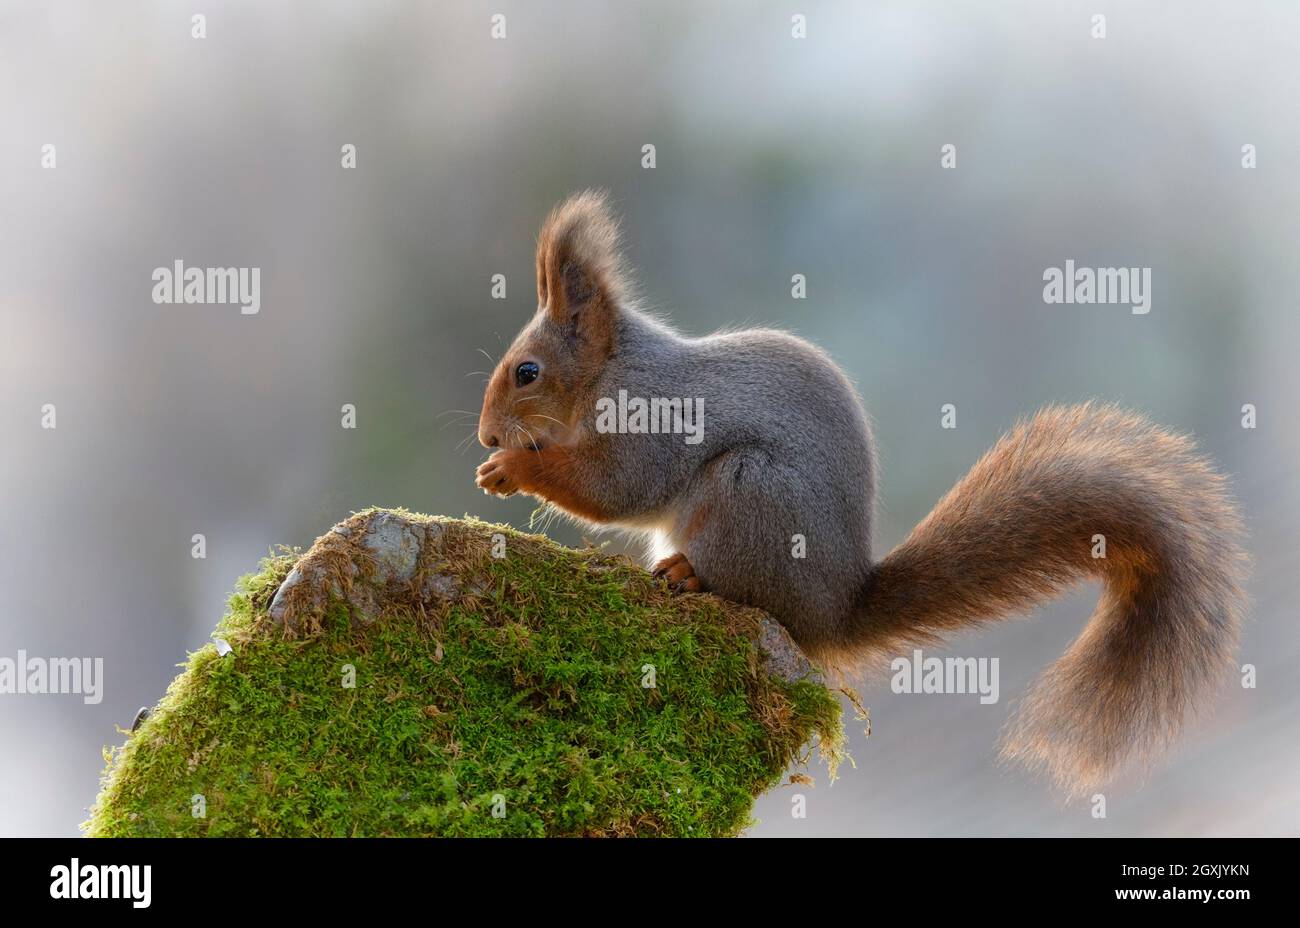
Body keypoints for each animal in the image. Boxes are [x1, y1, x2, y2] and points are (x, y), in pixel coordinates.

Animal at [475, 190, 1247, 795]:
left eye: (527, 372)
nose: (484, 437)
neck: (613, 371)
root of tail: (835, 608)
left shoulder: (649, 421)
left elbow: (616, 488)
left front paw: (515, 470)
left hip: (749, 495)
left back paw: (691, 575)